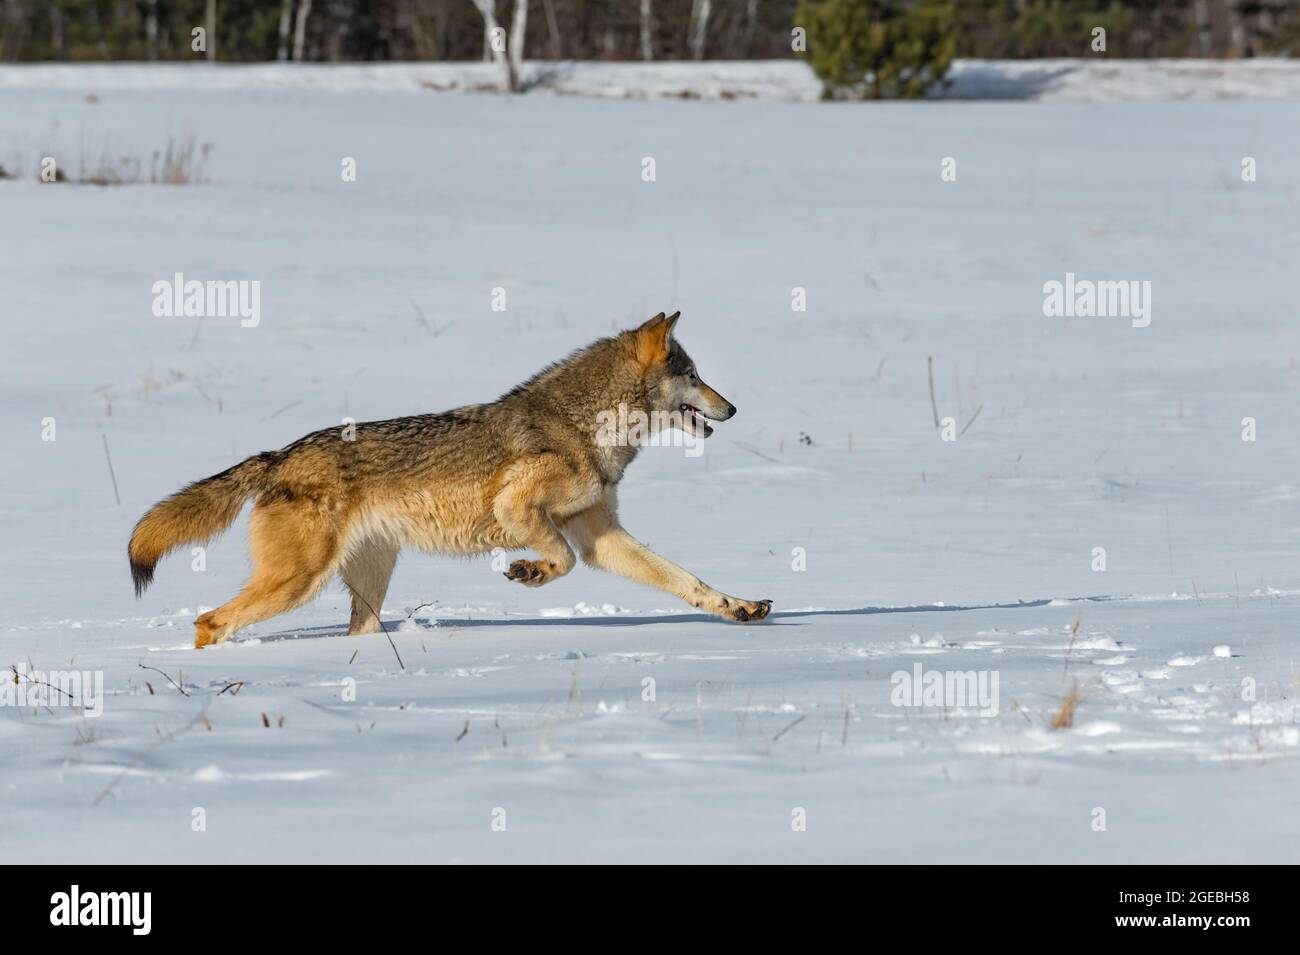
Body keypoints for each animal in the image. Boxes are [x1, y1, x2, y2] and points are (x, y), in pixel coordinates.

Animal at [128, 312, 773, 648]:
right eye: (694, 375)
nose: (734, 408)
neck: (587, 425)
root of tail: (276, 454)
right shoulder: (521, 510)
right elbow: (559, 561)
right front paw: (528, 573)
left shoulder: (602, 536)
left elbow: (687, 580)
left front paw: (739, 607)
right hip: (297, 583)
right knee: (210, 620)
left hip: (364, 586)